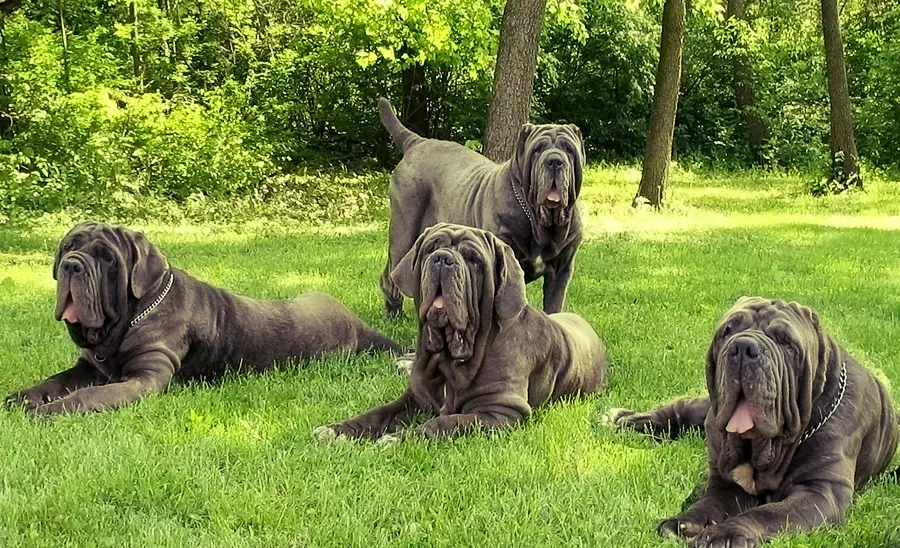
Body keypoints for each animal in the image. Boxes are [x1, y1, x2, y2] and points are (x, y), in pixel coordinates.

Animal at [6, 220, 400, 414]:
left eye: (106, 258)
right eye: (69, 247)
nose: (72, 265)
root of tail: (354, 321)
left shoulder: (144, 379)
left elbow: (90, 395)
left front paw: (50, 409)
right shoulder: (87, 366)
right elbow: (55, 380)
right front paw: (25, 397)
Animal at [312, 223, 608, 440]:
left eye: (472, 259)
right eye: (431, 247)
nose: (442, 259)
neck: (451, 356)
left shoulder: (499, 412)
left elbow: (442, 423)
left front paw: (398, 438)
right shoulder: (416, 397)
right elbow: (379, 413)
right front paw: (338, 430)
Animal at [378, 97, 584, 316]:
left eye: (569, 149)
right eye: (537, 150)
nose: (554, 161)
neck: (538, 220)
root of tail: (417, 141)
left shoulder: (561, 271)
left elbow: (554, 306)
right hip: (404, 232)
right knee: (392, 276)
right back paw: (395, 314)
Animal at [608, 298, 896, 548]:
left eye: (786, 342)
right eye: (726, 331)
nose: (743, 347)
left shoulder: (820, 491)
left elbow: (768, 514)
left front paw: (723, 534)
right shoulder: (726, 480)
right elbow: (709, 503)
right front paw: (683, 523)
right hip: (711, 411)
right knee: (684, 409)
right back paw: (626, 419)